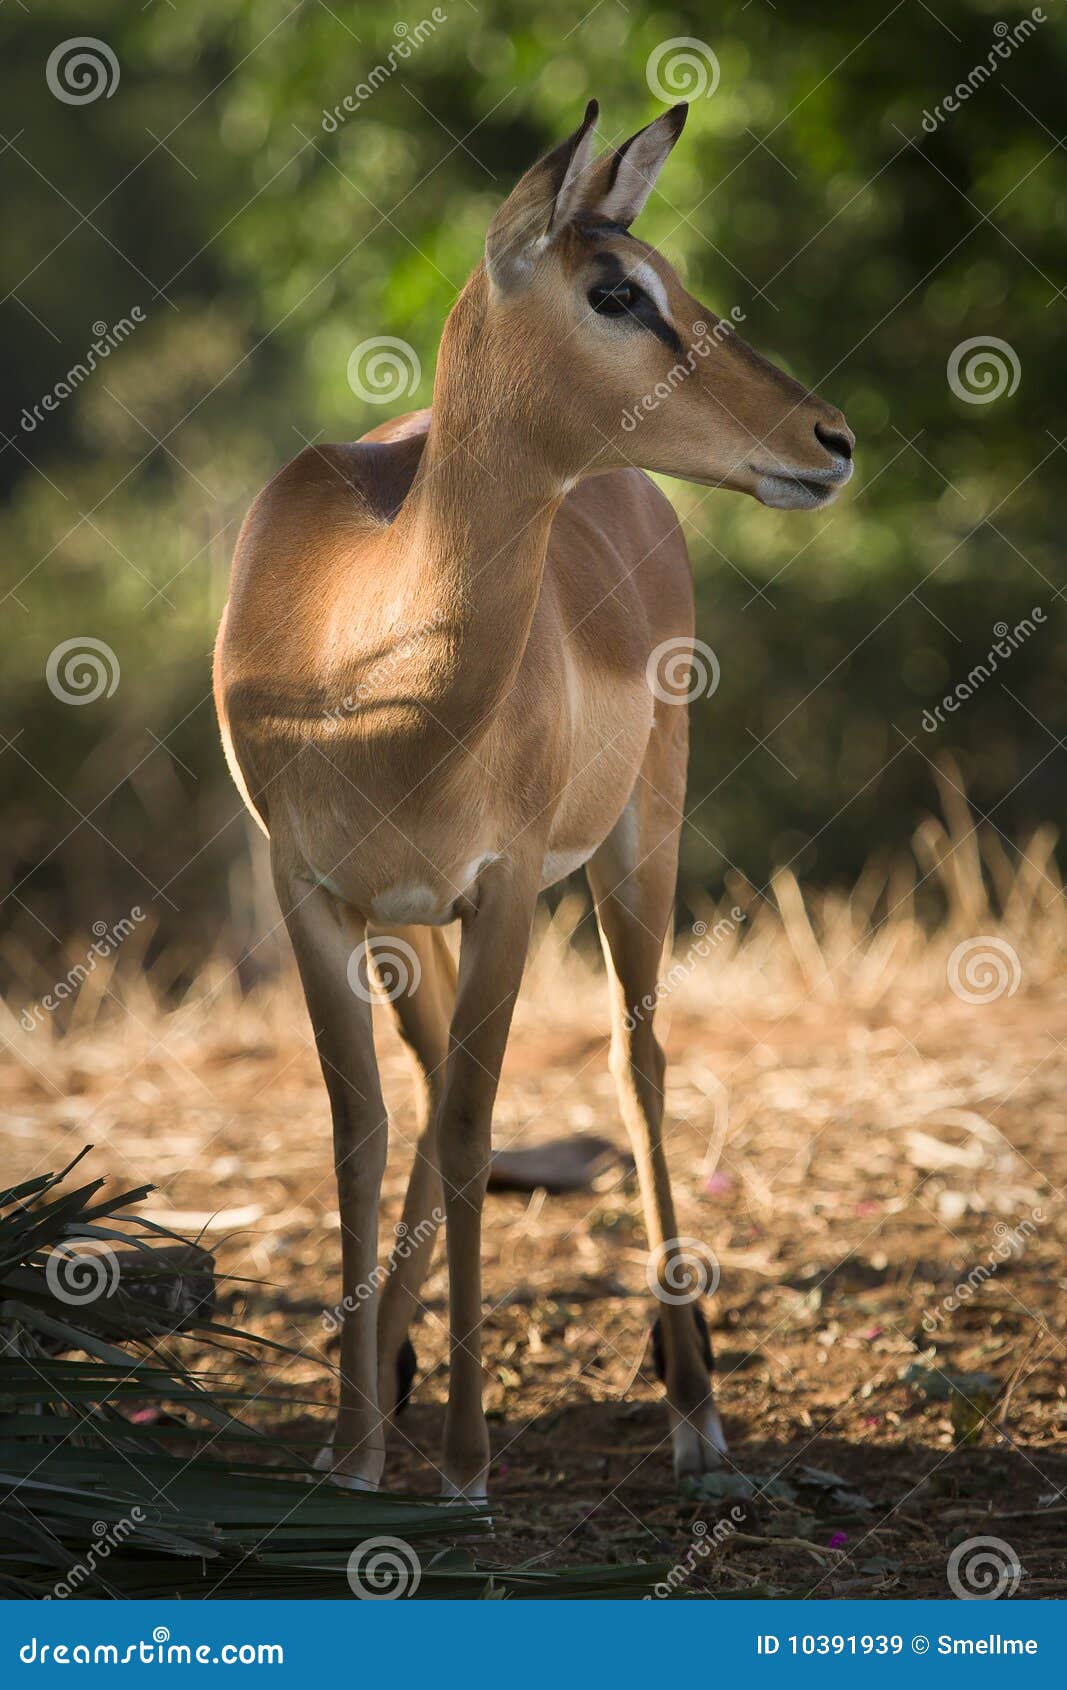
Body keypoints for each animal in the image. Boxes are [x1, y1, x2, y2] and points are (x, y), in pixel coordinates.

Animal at [213, 99, 854, 1501]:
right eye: (616, 290)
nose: (829, 440)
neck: (369, 663)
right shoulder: (314, 890)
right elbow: (361, 1128)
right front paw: (351, 1452)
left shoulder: (503, 888)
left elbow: (467, 1129)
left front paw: (462, 1465)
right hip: (416, 921)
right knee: (432, 1083)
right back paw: (389, 1377)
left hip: (633, 842)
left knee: (632, 1059)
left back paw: (693, 1415)